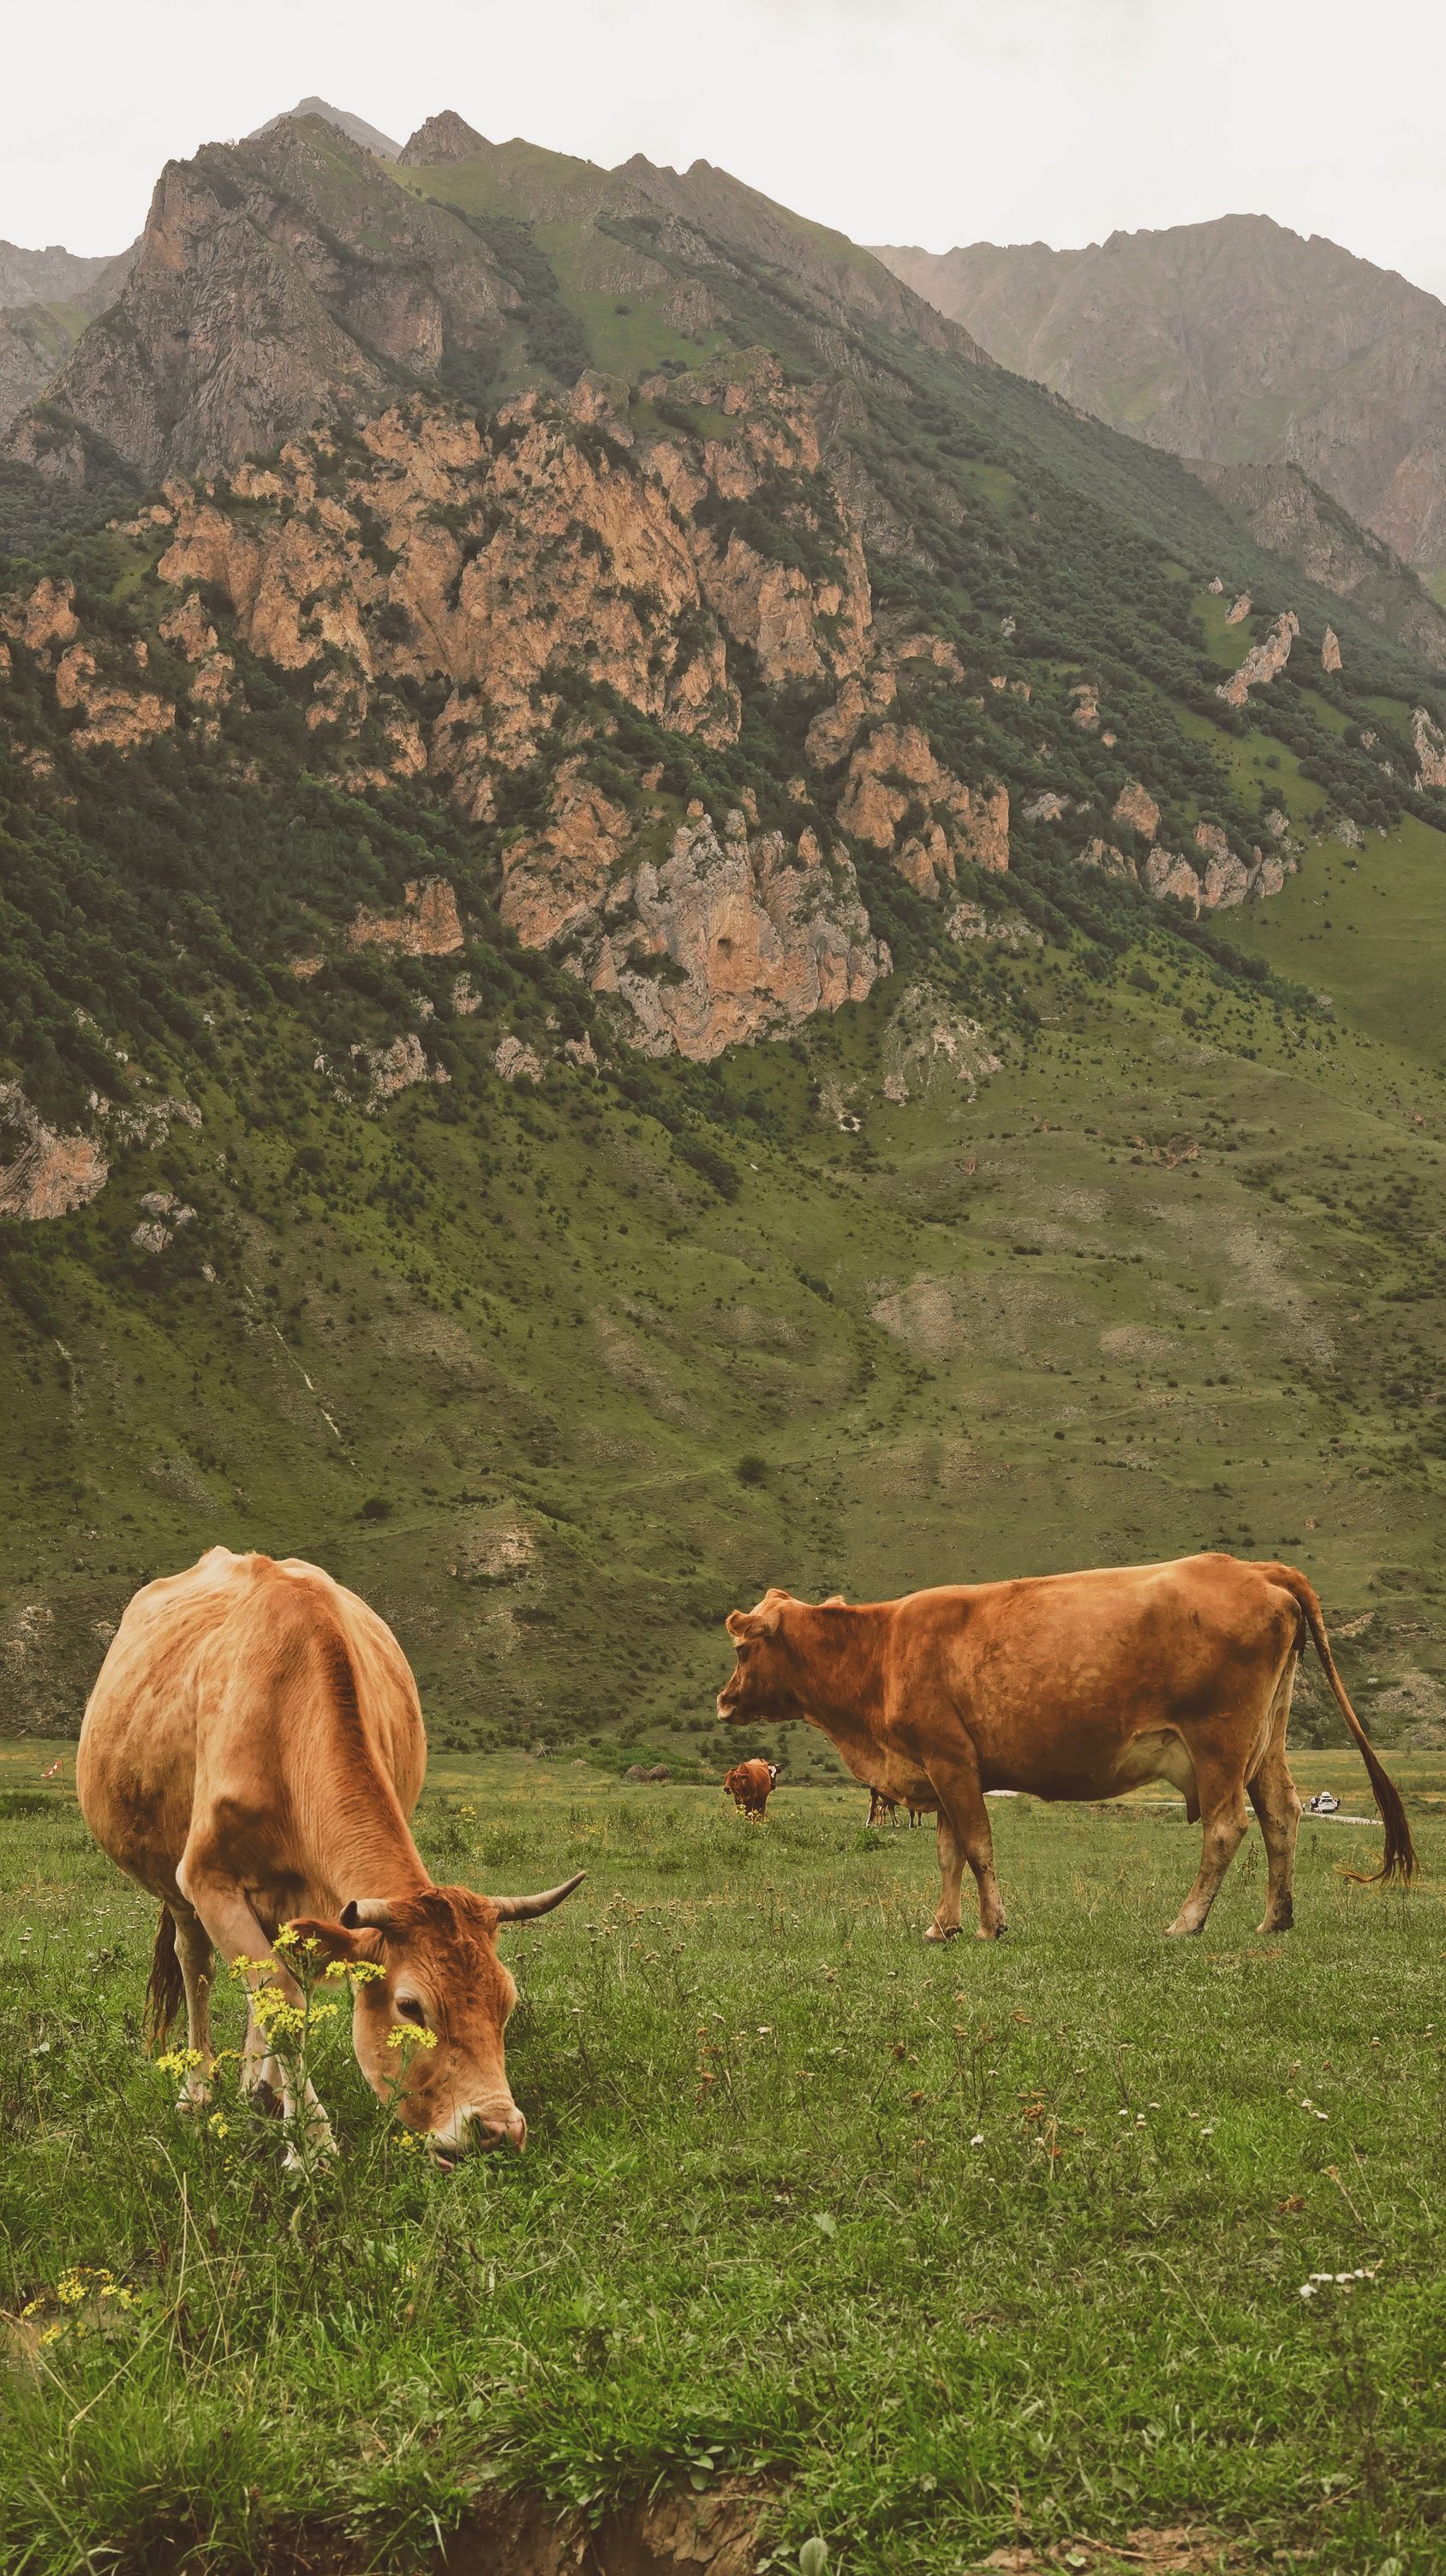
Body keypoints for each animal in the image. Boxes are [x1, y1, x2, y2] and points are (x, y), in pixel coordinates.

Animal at [77, 1547, 584, 2159]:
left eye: (506, 2001)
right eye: (410, 2006)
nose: (498, 2129)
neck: (286, 1713)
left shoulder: (321, 1906)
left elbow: (283, 1990)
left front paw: (274, 2106)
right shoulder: (207, 1878)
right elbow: (283, 2000)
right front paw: (313, 2146)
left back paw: (255, 2087)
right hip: (176, 1890)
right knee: (196, 1963)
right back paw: (198, 2091)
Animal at [718, 1555, 1413, 1941]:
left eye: (743, 1648)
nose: (723, 1701)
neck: (883, 1646)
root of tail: (1252, 1568)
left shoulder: (949, 1760)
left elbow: (976, 1847)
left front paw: (991, 1924)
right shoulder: (942, 1769)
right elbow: (948, 1854)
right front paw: (942, 1925)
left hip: (1220, 1743)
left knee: (1226, 1827)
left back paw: (1187, 1921)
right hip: (1266, 1741)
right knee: (1281, 1816)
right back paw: (1276, 1918)